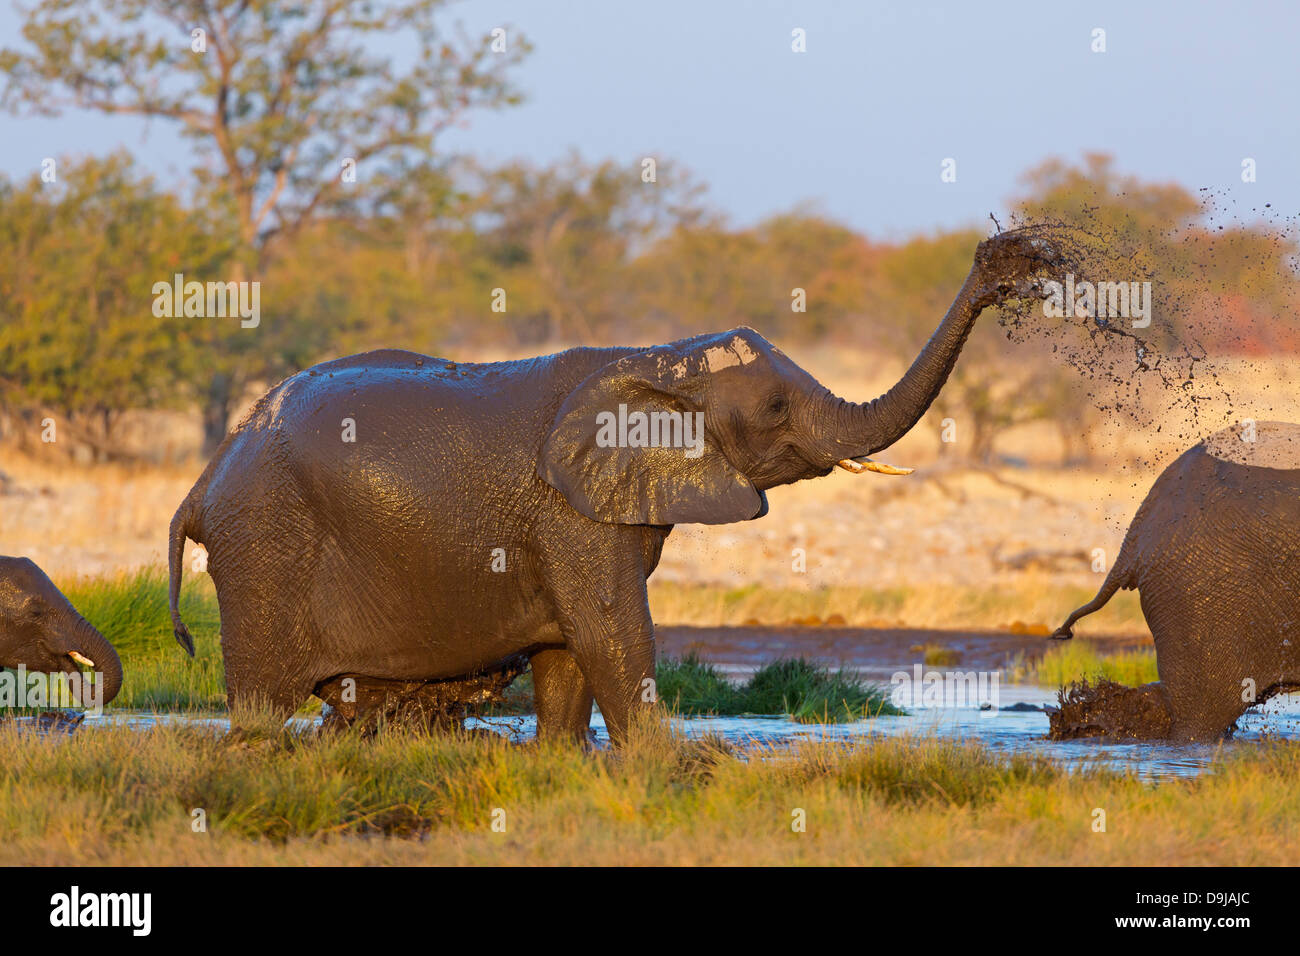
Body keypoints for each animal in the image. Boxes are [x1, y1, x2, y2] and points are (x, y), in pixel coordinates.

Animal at [166, 227, 1063, 742]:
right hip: (266, 540)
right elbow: (613, 633)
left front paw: (560, 773)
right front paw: (672, 770)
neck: (657, 356)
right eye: (775, 409)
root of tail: (206, 478)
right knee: (258, 703)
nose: (1005, 266)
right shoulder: (568, 514)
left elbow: (569, 653)